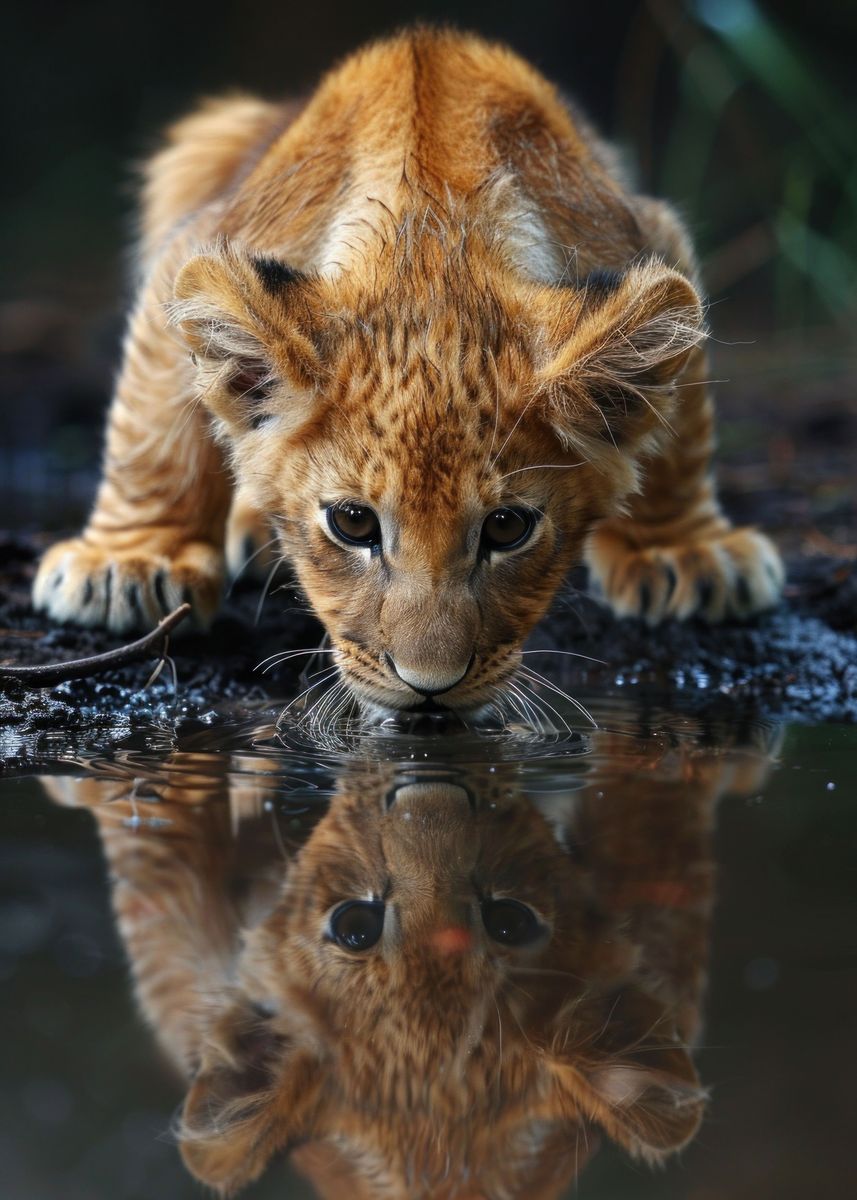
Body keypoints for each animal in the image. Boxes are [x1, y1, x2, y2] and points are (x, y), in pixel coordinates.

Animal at [33, 28, 783, 714]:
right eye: (352, 524)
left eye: (507, 528)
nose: (429, 688)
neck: (432, 241)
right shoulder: (195, 244)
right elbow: (153, 428)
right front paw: (130, 564)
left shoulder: (651, 242)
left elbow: (680, 433)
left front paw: (683, 553)